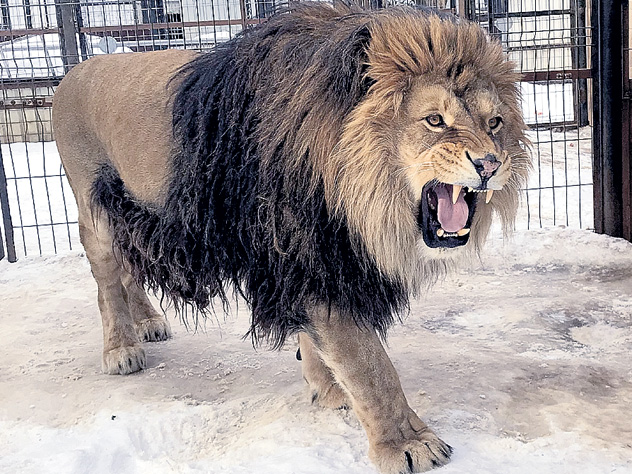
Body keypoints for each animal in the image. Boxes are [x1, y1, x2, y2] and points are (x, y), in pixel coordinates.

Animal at [53, 4, 528, 474]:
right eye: (434, 120)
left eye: (495, 123)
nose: (490, 164)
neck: (357, 196)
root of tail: (75, 71)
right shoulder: (312, 260)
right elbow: (371, 366)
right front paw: (409, 445)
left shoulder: (310, 263)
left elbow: (323, 343)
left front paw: (328, 389)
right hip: (94, 210)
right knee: (107, 281)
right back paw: (121, 349)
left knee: (129, 266)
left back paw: (149, 322)